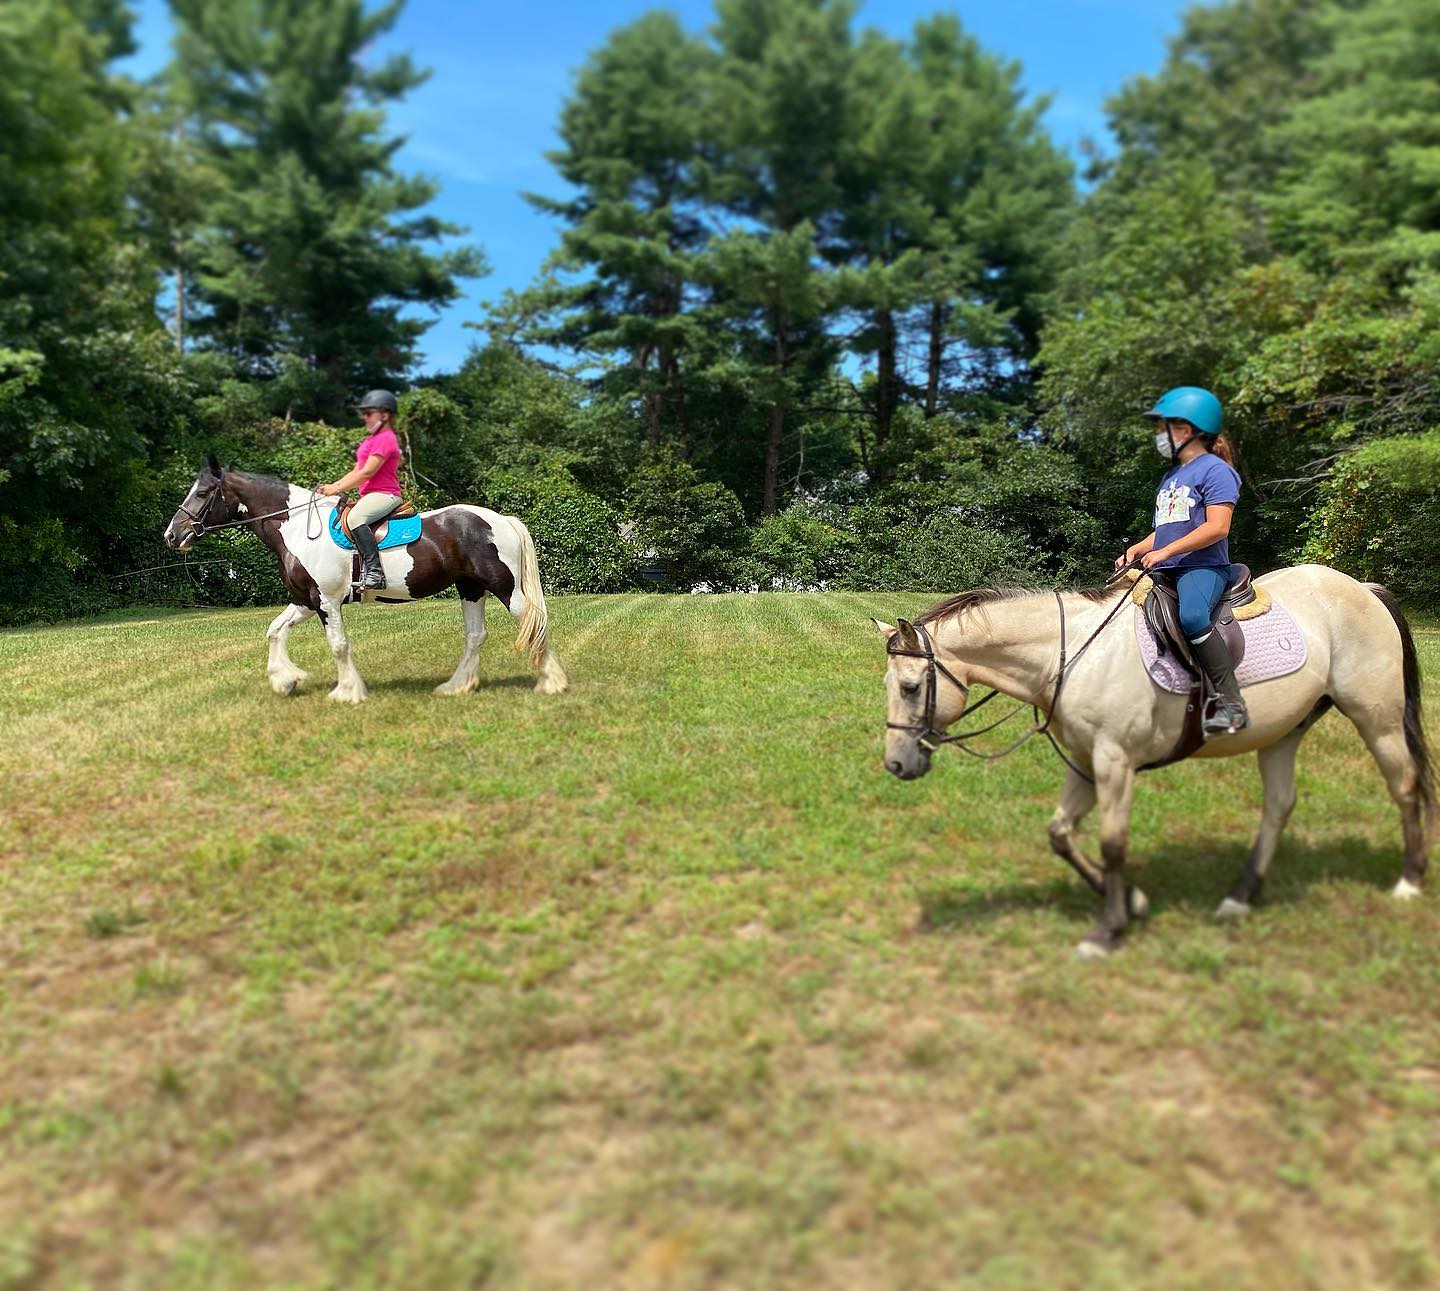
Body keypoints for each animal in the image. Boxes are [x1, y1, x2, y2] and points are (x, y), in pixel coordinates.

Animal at [164, 454, 568, 702]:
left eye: (203, 492)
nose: (171, 535)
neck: (296, 528)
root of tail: (501, 520)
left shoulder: (326, 601)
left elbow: (339, 645)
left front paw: (347, 692)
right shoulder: (305, 601)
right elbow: (274, 631)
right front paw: (285, 680)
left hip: (505, 588)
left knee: (535, 623)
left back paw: (552, 682)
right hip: (470, 589)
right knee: (475, 636)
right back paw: (457, 686)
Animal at [875, 564, 1434, 958]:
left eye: (910, 687)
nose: (897, 765)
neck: (1072, 655)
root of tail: (1363, 588)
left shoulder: (1114, 761)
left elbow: (1112, 844)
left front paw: (1109, 928)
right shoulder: (1085, 760)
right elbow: (1060, 833)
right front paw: (1135, 902)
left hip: (1377, 718)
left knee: (1404, 785)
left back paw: (1409, 881)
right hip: (1283, 733)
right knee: (1279, 806)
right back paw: (1240, 897)